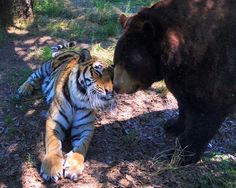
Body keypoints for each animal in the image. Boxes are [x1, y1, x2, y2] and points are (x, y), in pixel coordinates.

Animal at [17, 41, 115, 181]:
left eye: (113, 77)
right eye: (98, 71)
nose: (110, 92)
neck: (80, 99)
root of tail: (73, 52)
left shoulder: (85, 128)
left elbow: (82, 147)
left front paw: (73, 167)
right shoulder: (53, 122)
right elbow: (54, 143)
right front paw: (51, 169)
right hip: (45, 67)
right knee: (33, 77)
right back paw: (24, 89)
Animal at [113, 0, 235, 164]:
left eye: (128, 63)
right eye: (115, 61)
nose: (116, 87)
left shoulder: (216, 64)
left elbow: (205, 113)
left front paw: (179, 155)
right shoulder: (182, 75)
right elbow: (184, 99)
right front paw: (173, 125)